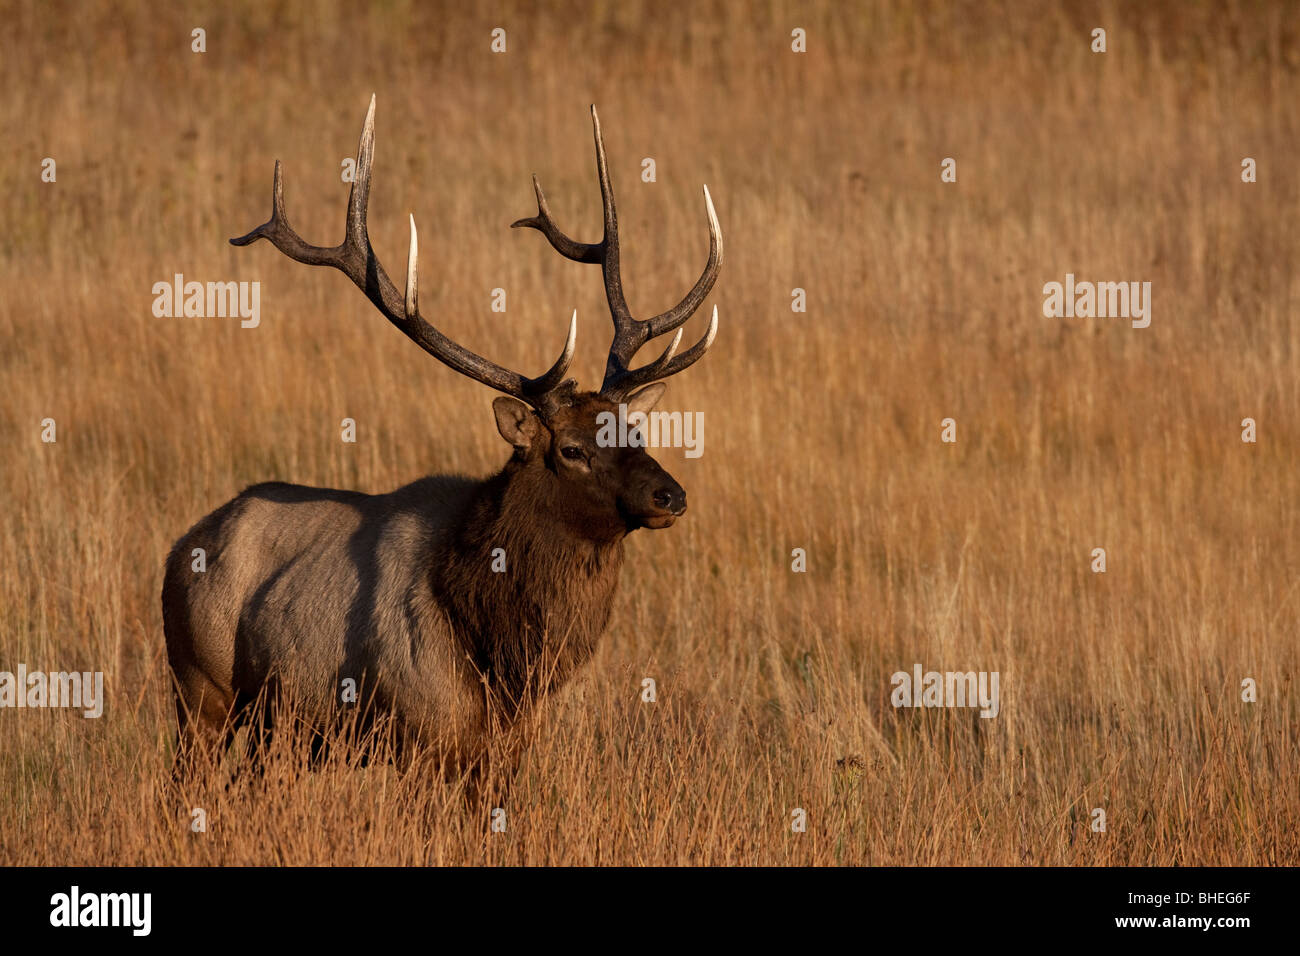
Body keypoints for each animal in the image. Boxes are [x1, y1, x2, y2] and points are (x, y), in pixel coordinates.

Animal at [161, 96, 722, 807]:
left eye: (635, 431)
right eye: (570, 449)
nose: (669, 494)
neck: (499, 653)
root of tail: (179, 548)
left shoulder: (504, 750)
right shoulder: (420, 738)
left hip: (279, 727)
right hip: (200, 688)